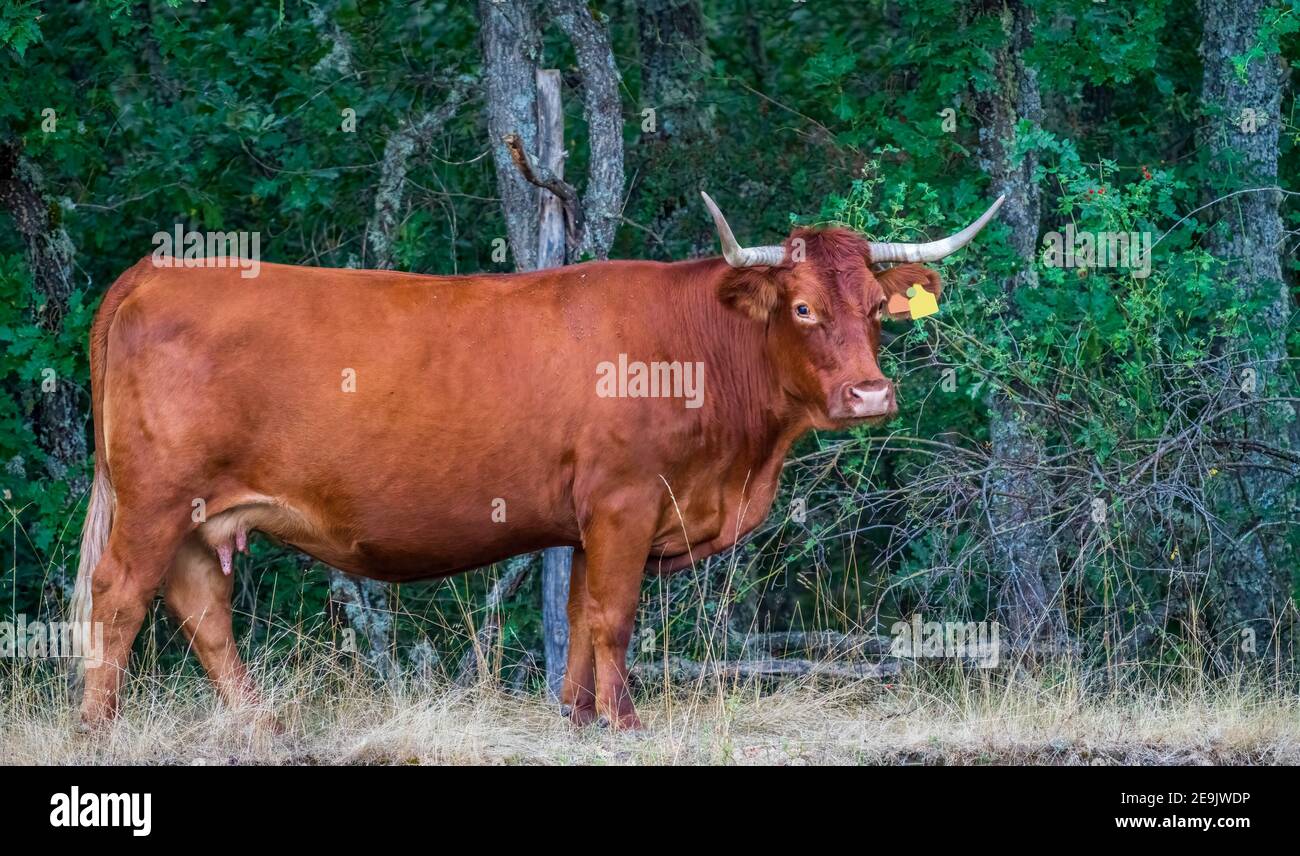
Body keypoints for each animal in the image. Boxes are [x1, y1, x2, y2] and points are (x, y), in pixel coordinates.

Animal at [70, 192, 1002, 729]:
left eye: (878, 306)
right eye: (803, 307)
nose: (870, 396)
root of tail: (154, 273)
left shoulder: (591, 519)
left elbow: (584, 617)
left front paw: (578, 716)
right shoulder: (626, 501)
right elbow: (614, 616)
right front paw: (626, 723)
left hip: (199, 513)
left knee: (201, 607)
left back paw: (263, 727)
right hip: (155, 500)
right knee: (119, 599)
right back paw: (99, 727)